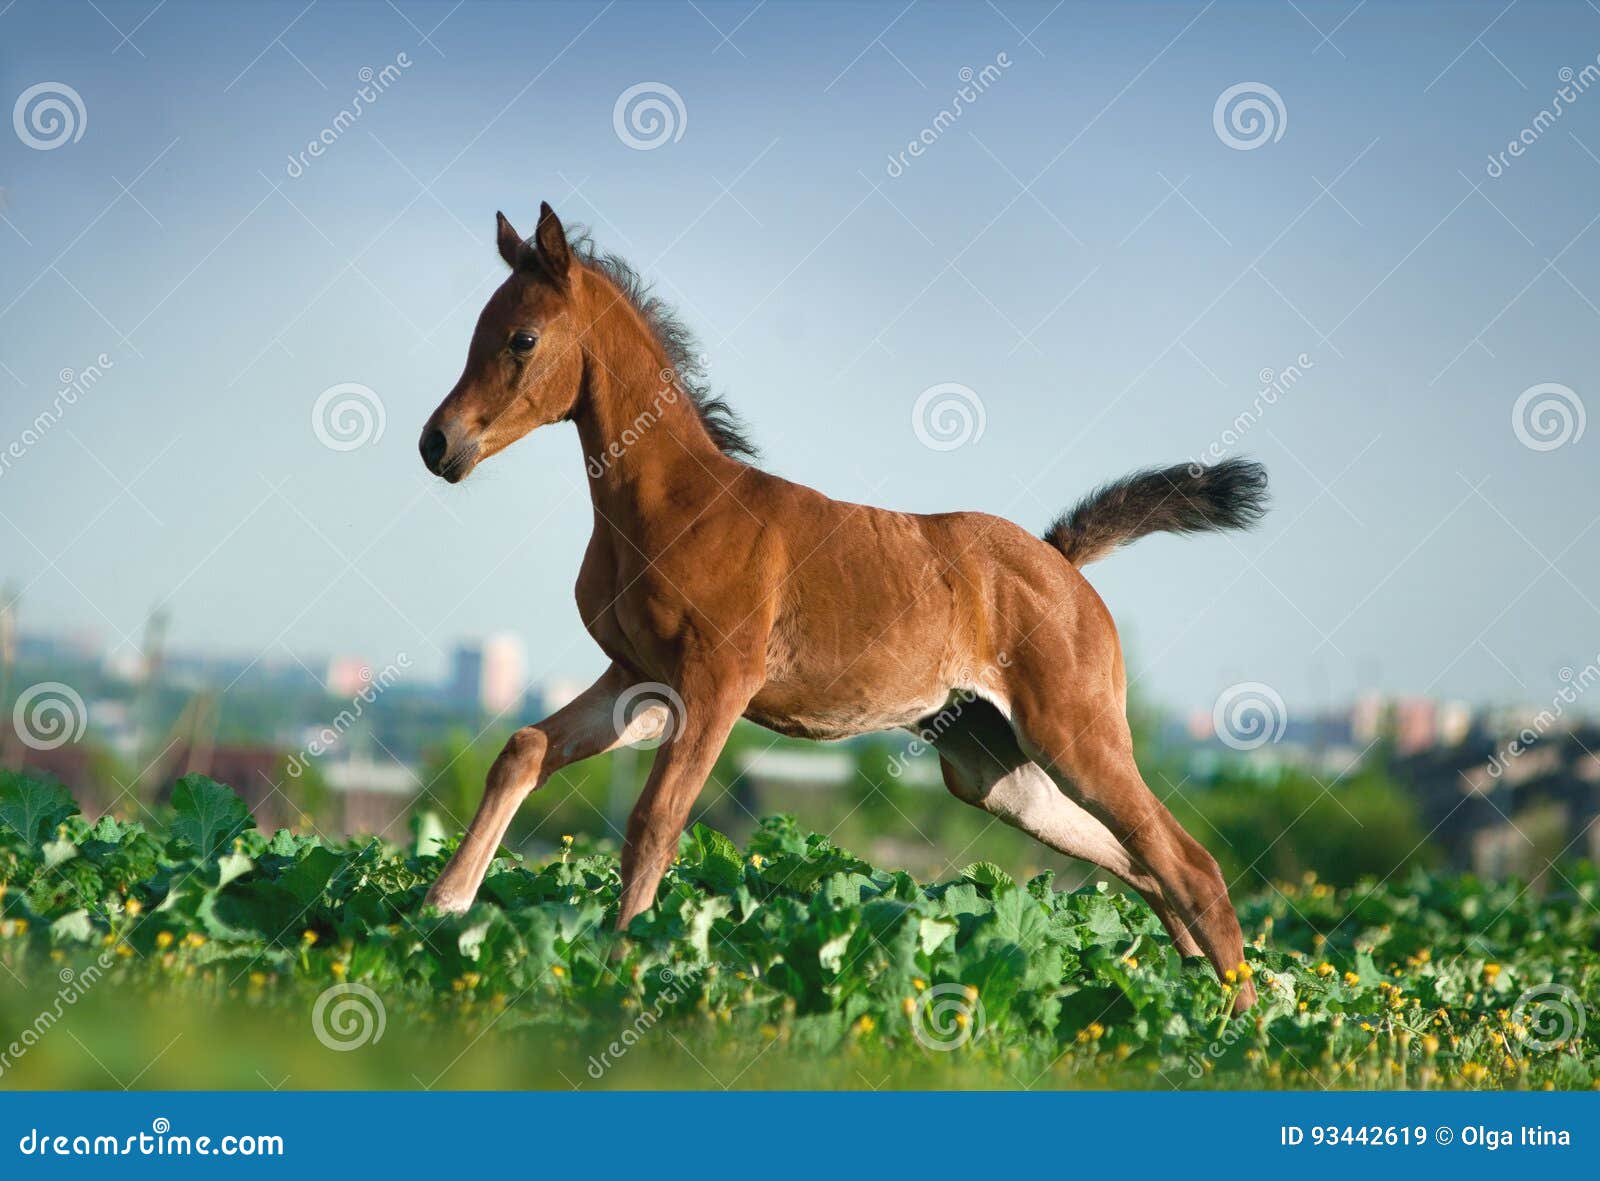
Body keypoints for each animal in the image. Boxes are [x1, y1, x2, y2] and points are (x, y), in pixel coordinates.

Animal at [418, 201, 1269, 1010]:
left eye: (522, 338)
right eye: (476, 333)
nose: (437, 443)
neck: (671, 505)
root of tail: (1058, 557)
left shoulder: (716, 685)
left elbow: (653, 823)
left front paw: (622, 965)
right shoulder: (640, 681)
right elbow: (524, 747)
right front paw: (441, 910)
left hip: (1075, 734)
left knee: (1189, 862)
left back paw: (1239, 1025)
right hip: (995, 770)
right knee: (1139, 859)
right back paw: (1192, 994)